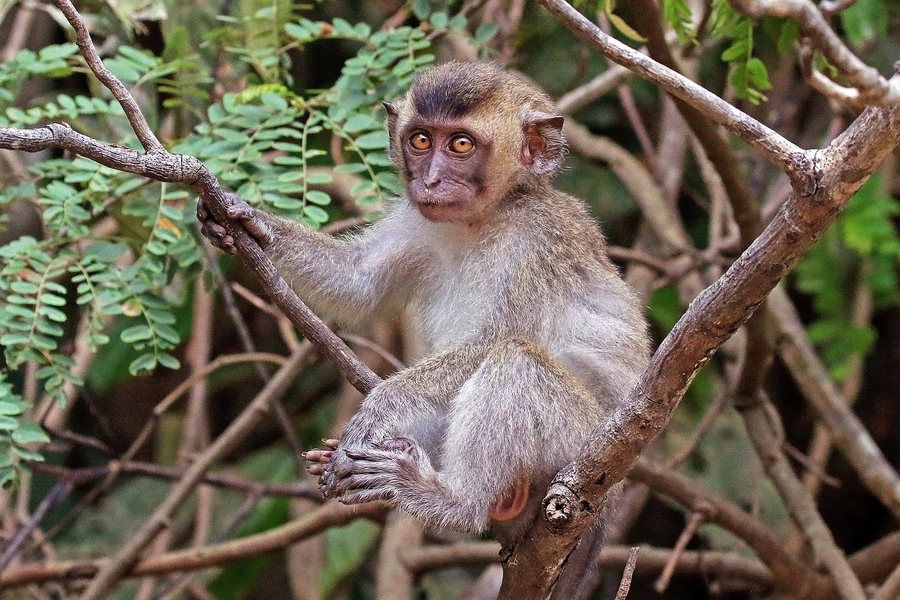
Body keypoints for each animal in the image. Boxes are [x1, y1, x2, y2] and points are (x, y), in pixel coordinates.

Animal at [198, 61, 650, 598]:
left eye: (460, 145)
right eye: (419, 140)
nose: (431, 181)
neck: (483, 219)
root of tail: (609, 495)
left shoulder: (540, 240)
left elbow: (494, 338)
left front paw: (378, 407)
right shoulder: (417, 220)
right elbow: (358, 282)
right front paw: (247, 222)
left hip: (577, 445)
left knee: (515, 362)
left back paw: (453, 501)